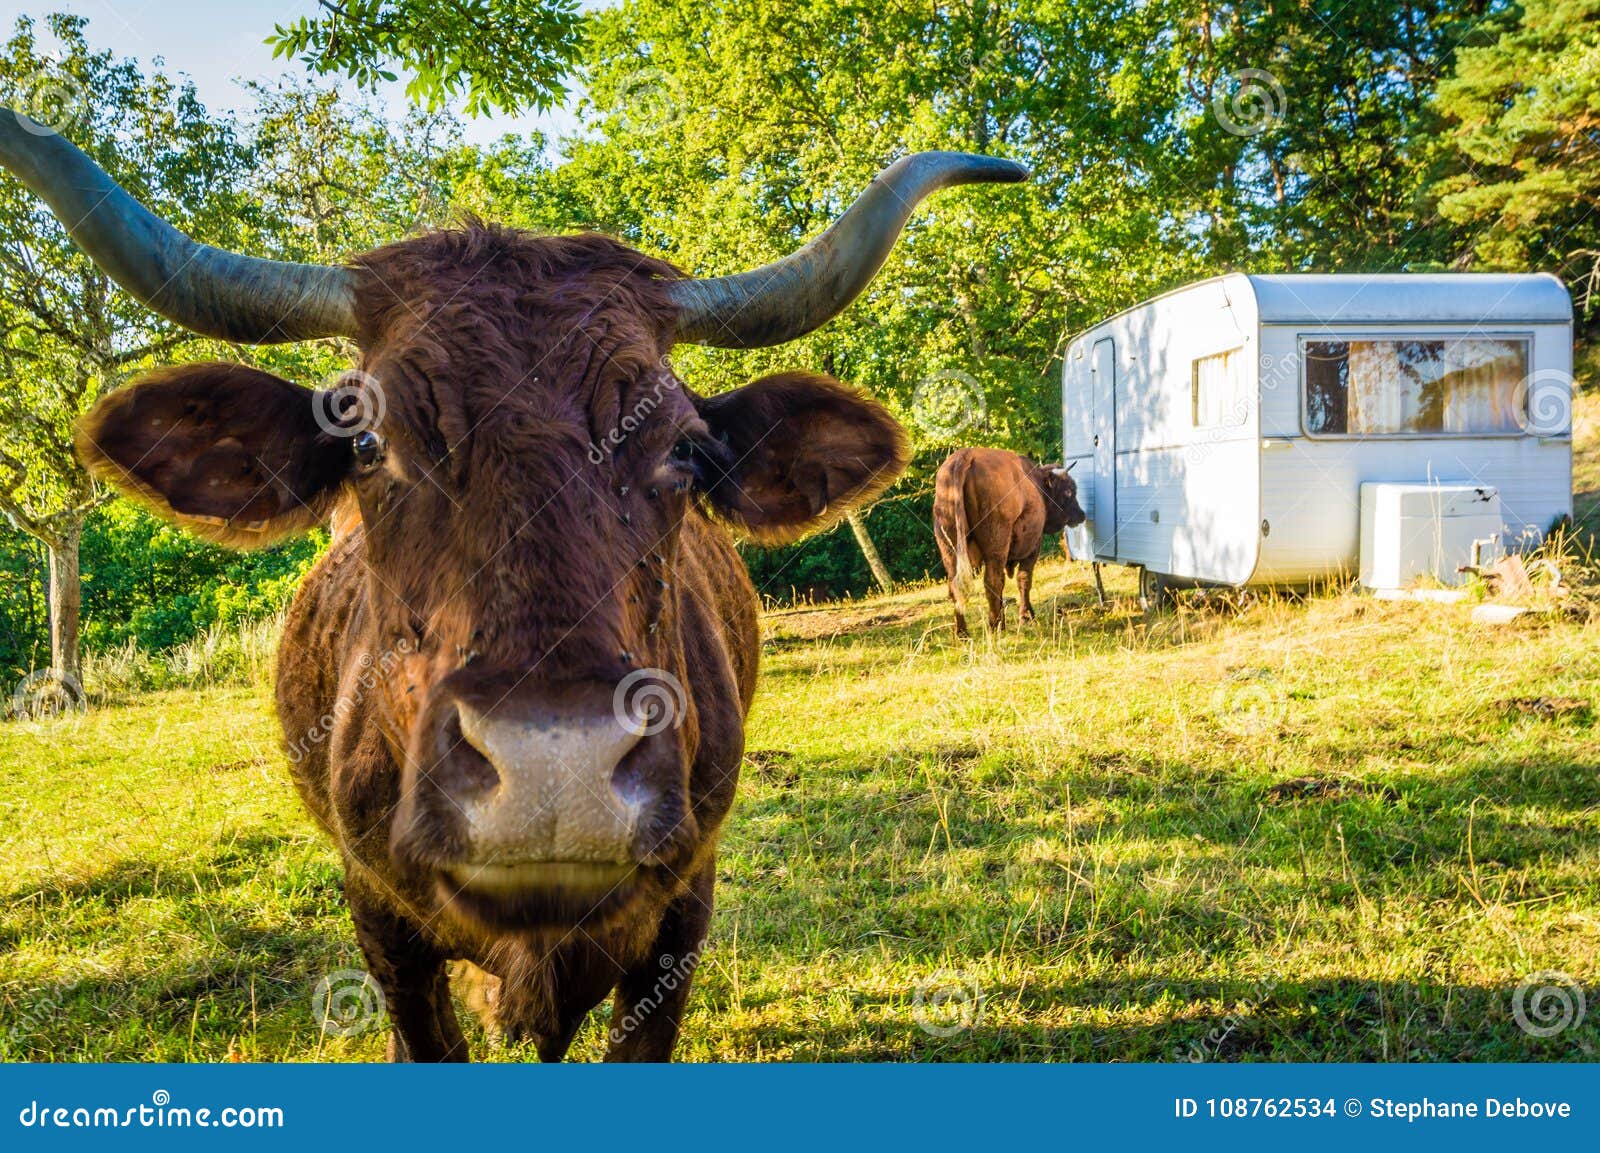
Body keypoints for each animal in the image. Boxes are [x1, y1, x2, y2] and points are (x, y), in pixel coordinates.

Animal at [933, 447, 1085, 637]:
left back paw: (963, 633)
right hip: (996, 544)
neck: (1036, 484)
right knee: (992, 581)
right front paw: (1027, 616)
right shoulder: (1033, 547)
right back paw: (995, 626)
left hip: (949, 549)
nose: (1082, 514)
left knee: (956, 586)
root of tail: (965, 456)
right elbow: (1024, 580)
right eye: (1069, 491)